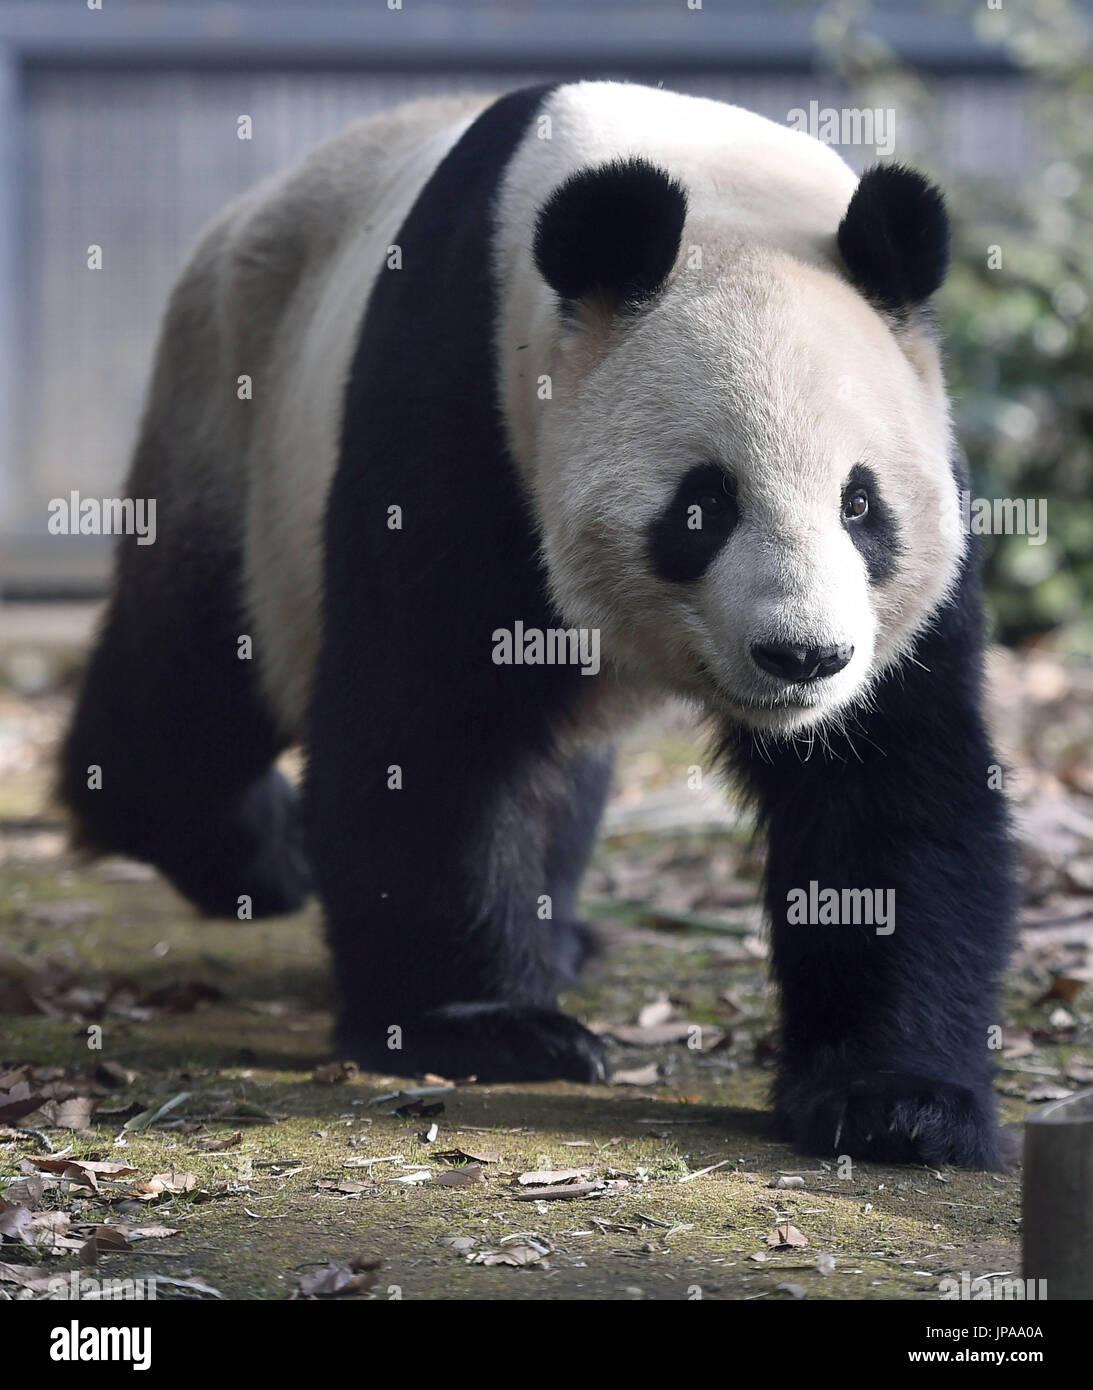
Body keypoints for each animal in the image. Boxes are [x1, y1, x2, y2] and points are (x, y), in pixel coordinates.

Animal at [60, 81, 1016, 1168]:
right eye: (703, 506)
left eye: (861, 504)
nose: (802, 657)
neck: (714, 191)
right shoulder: (459, 396)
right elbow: (426, 719)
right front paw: (483, 1027)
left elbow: (891, 778)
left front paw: (895, 1098)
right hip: (237, 426)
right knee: (195, 684)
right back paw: (250, 849)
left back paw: (558, 934)